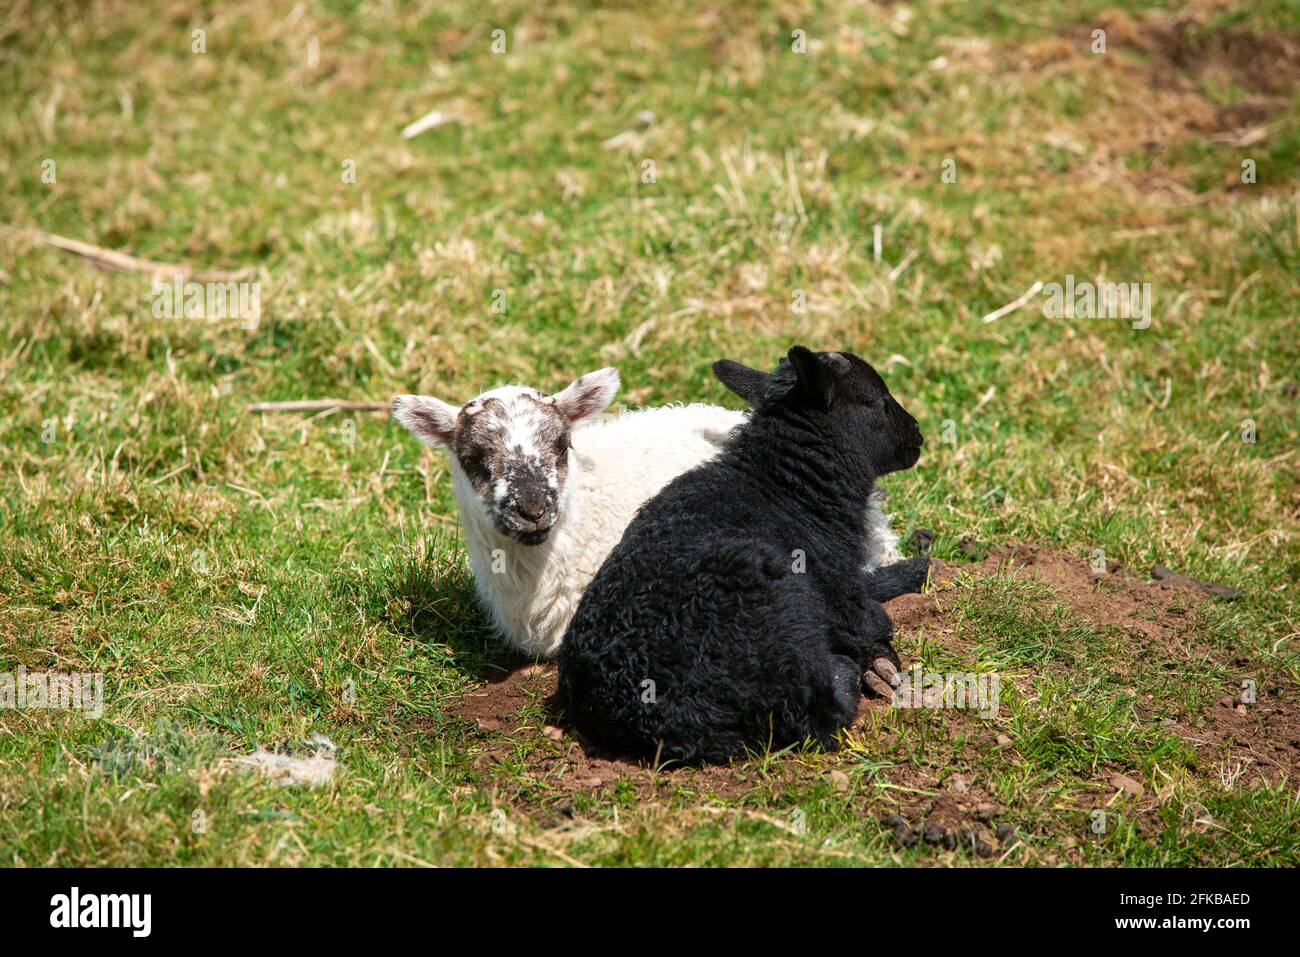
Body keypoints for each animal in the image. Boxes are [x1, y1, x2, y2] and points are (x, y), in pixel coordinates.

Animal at [556, 347, 930, 764]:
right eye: (875, 400)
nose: (917, 433)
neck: (787, 487)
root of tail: (659, 719)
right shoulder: (843, 594)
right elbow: (874, 618)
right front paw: (916, 572)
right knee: (817, 716)